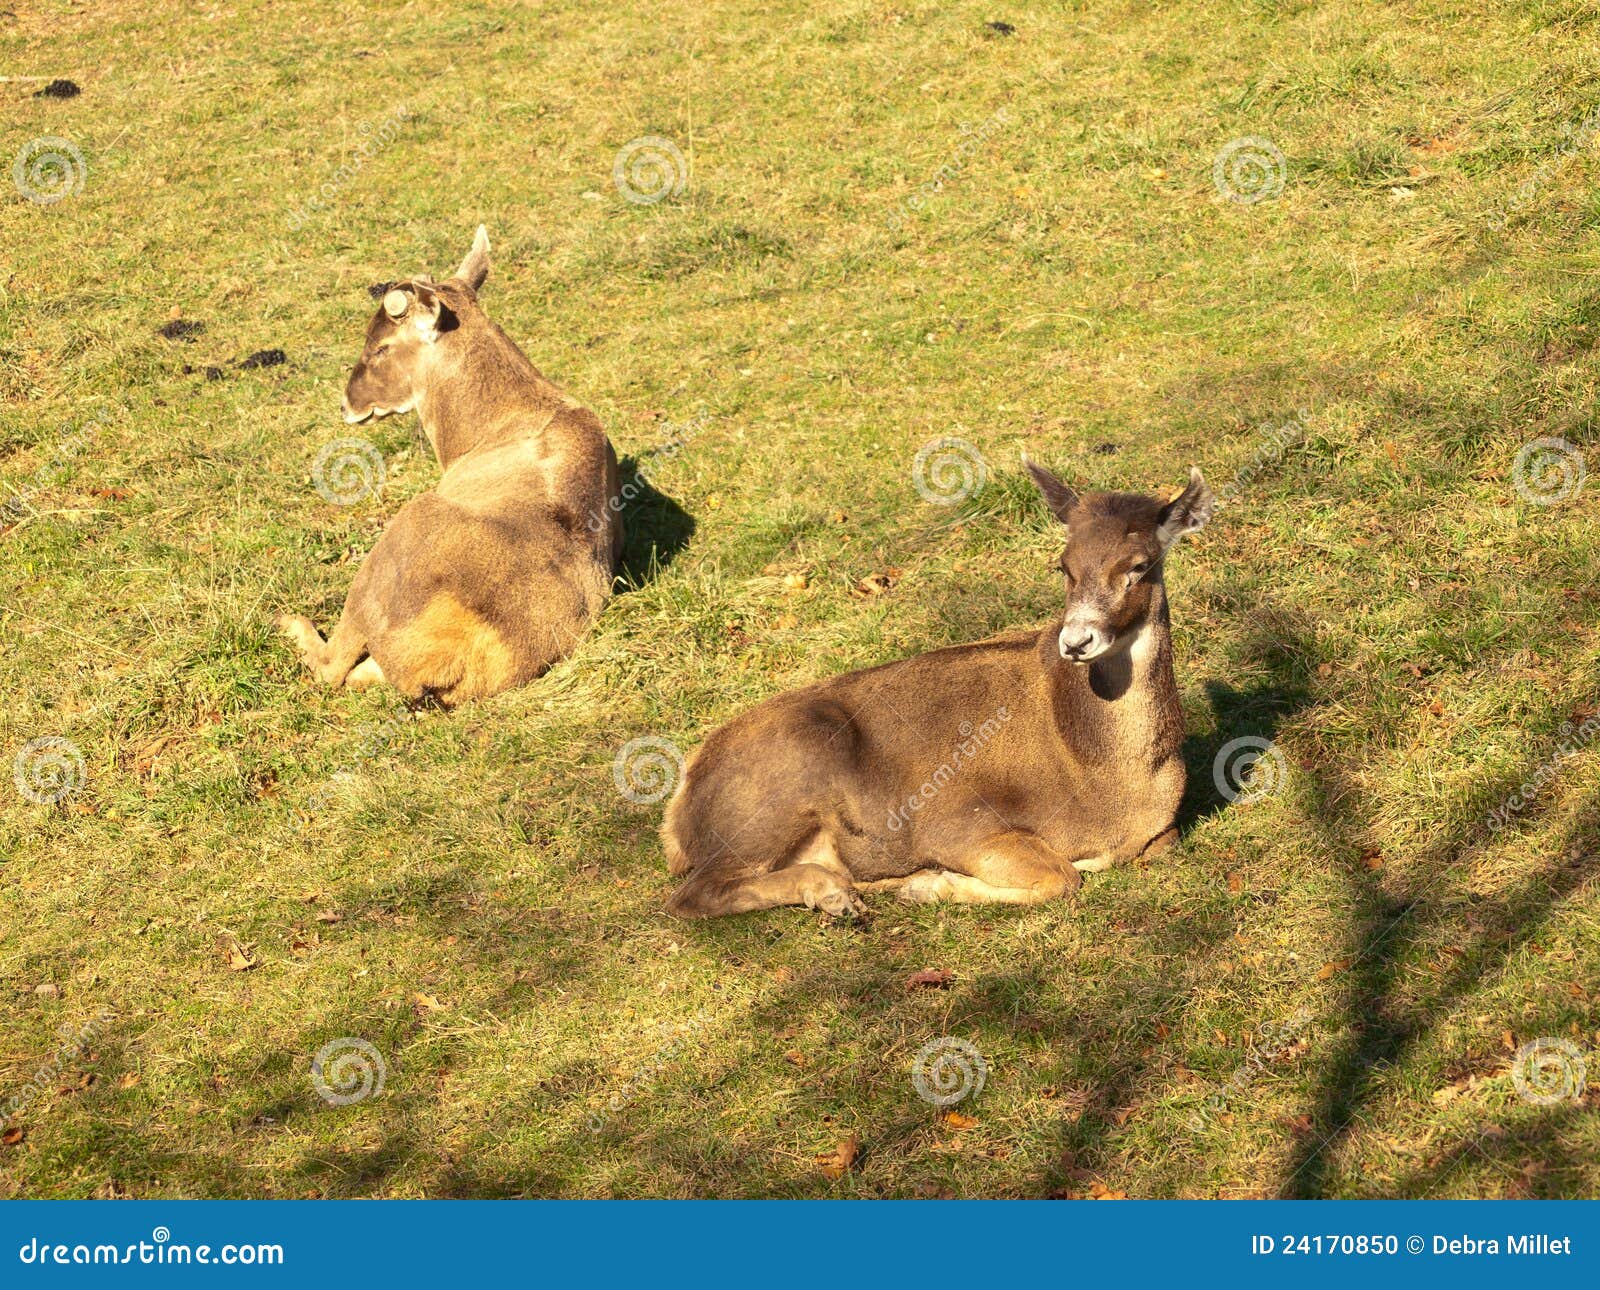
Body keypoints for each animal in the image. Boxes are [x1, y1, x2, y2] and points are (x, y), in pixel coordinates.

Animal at [278, 227, 623, 706]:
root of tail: (454, 658)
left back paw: (290, 622)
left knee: (333, 666)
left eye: (381, 346)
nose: (348, 404)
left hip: (394, 544)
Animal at [661, 459, 1212, 917]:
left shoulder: (1162, 829)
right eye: (1064, 564)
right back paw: (835, 893)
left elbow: (1149, 848)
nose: (1075, 640)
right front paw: (927, 884)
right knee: (691, 895)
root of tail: (678, 813)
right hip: (777, 788)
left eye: (1139, 565)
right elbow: (1061, 875)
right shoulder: (954, 818)